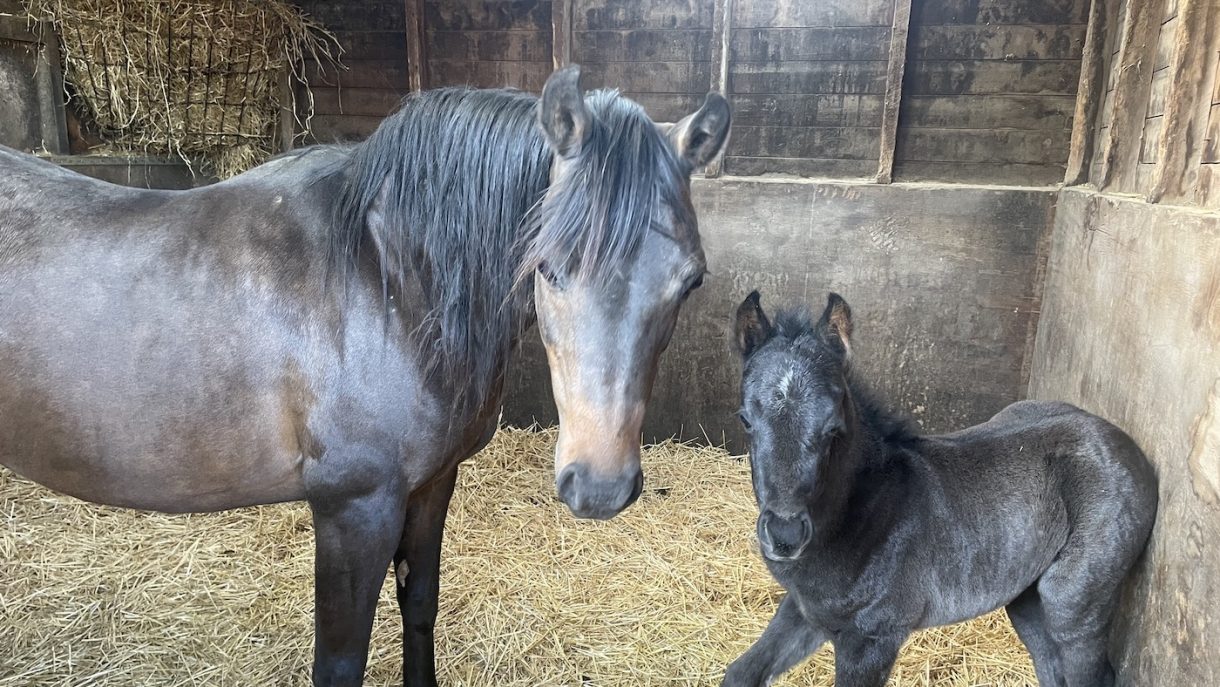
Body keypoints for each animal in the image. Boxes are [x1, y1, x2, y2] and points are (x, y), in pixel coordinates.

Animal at [0, 66, 730, 686]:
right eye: (546, 266)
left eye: (691, 281)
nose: (600, 487)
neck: (384, 278)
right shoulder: (354, 508)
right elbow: (340, 660)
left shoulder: (431, 485)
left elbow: (420, 606)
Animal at [723, 291, 1158, 687]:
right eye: (745, 419)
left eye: (833, 428)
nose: (784, 535)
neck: (868, 511)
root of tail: (1129, 448)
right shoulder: (805, 611)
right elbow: (741, 673)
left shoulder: (872, 640)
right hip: (1026, 599)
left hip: (1072, 602)